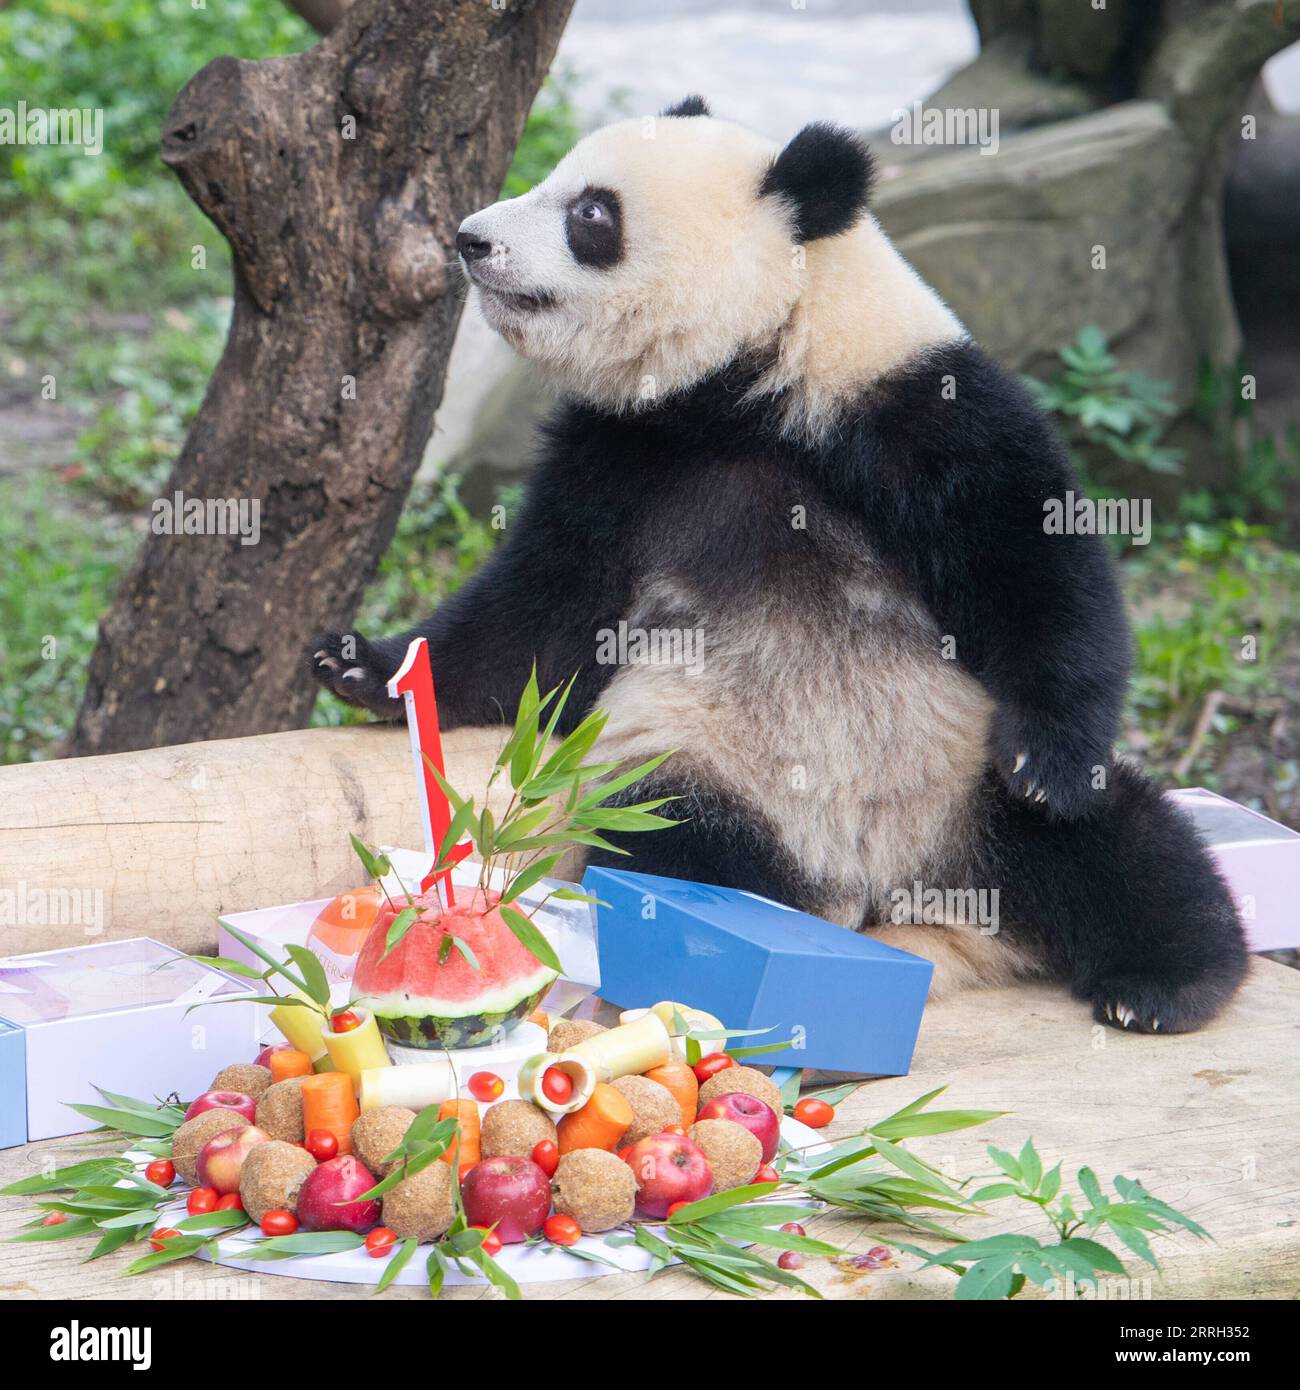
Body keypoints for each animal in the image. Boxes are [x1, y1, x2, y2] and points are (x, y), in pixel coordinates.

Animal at [311, 98, 1247, 1034]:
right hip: (713, 776)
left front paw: (1048, 763)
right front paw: (366, 665)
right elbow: (540, 608)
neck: (744, 385)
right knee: (680, 848)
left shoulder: (909, 406)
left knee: (1123, 844)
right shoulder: (622, 455)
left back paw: (1163, 982)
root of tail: (898, 903)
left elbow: (1036, 563)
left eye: (592, 213)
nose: (470, 239)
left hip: (964, 780)